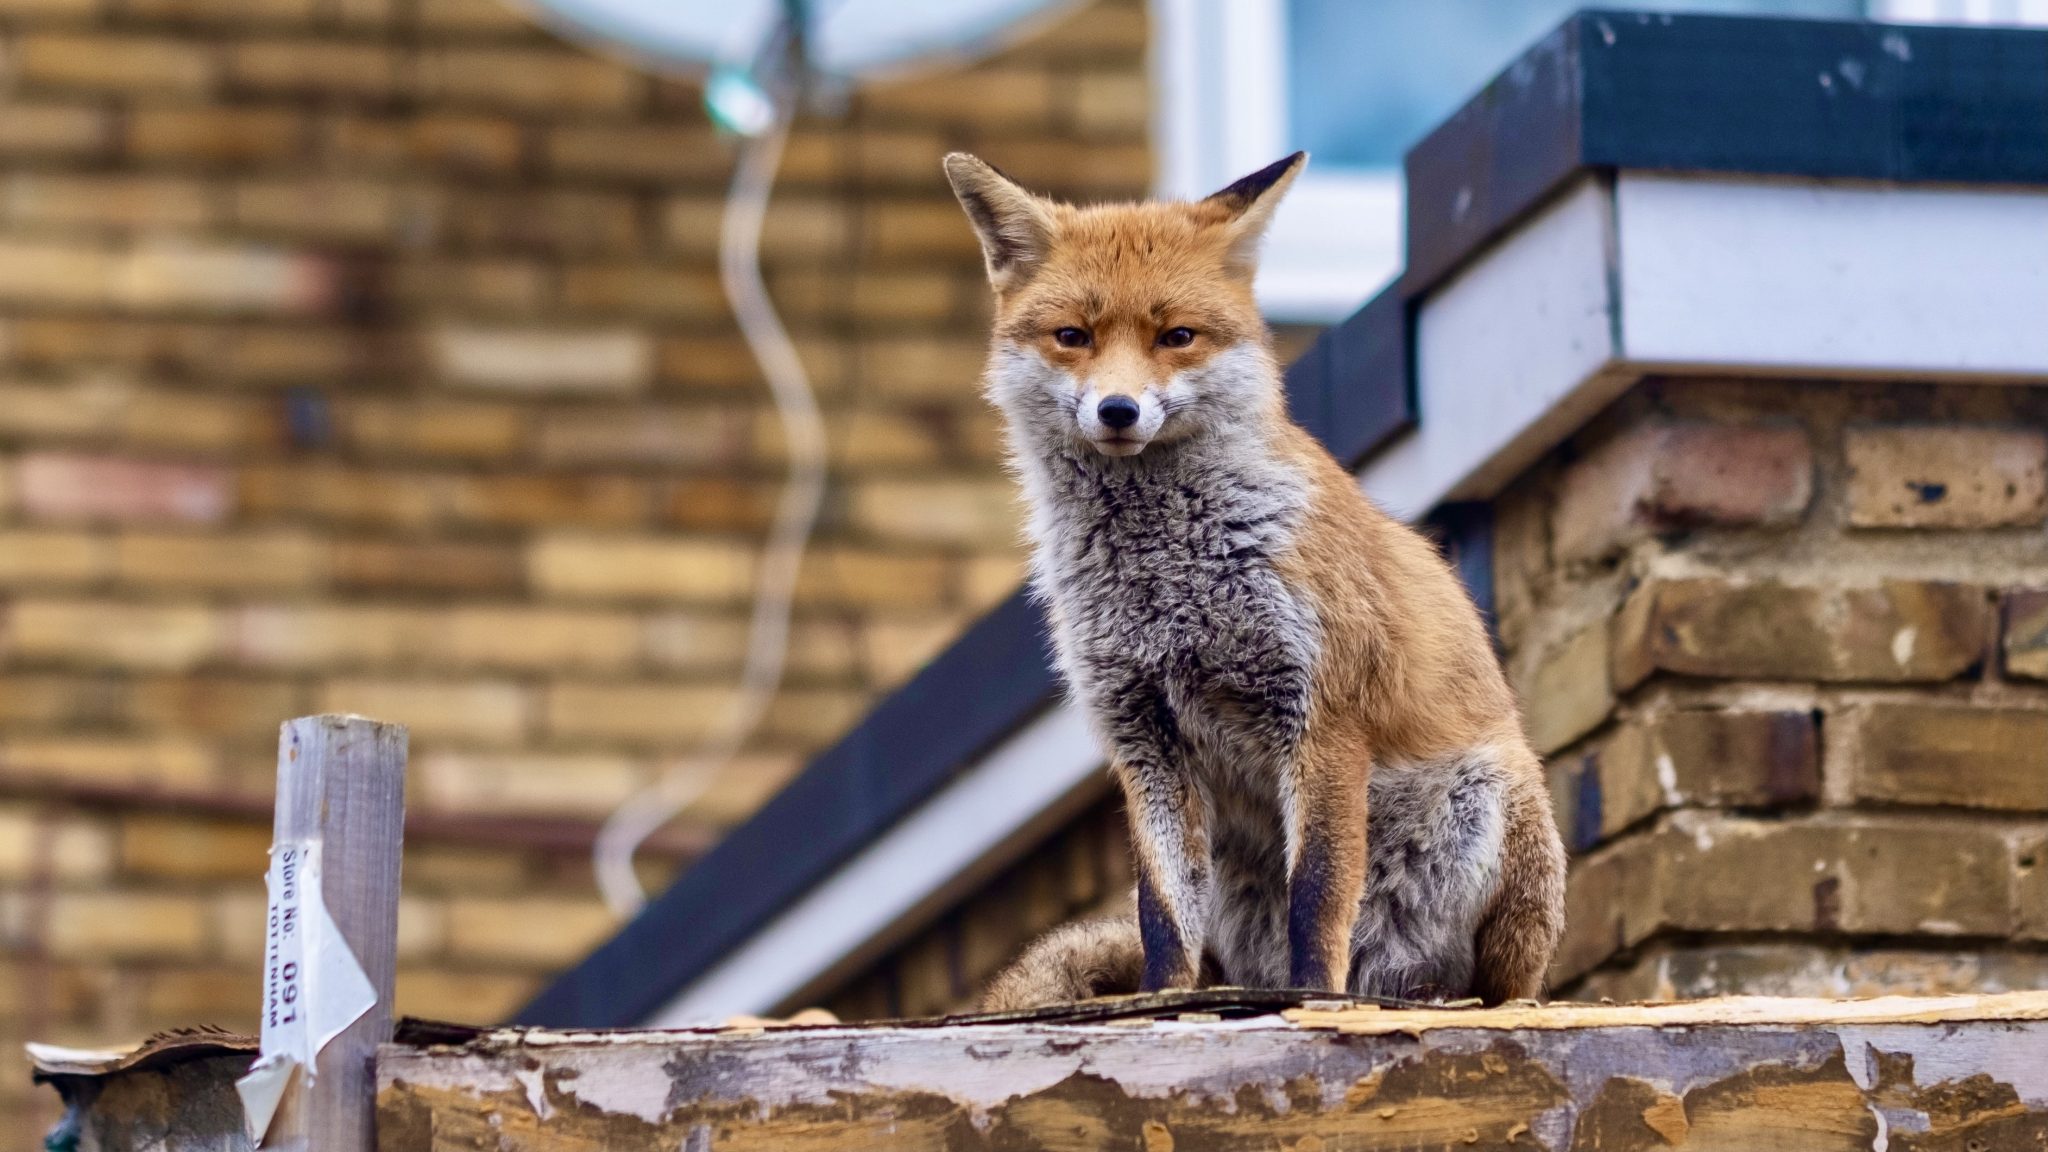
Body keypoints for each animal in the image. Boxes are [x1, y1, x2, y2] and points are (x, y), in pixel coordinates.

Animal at [944, 151, 1567, 1010]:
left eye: (1177, 337)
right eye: (1073, 337)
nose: (1117, 410)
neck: (1168, 583)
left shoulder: (1322, 716)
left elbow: (1320, 896)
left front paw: (1314, 1001)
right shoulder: (1144, 739)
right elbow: (1162, 916)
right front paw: (1163, 1003)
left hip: (1493, 800)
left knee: (1493, 981)